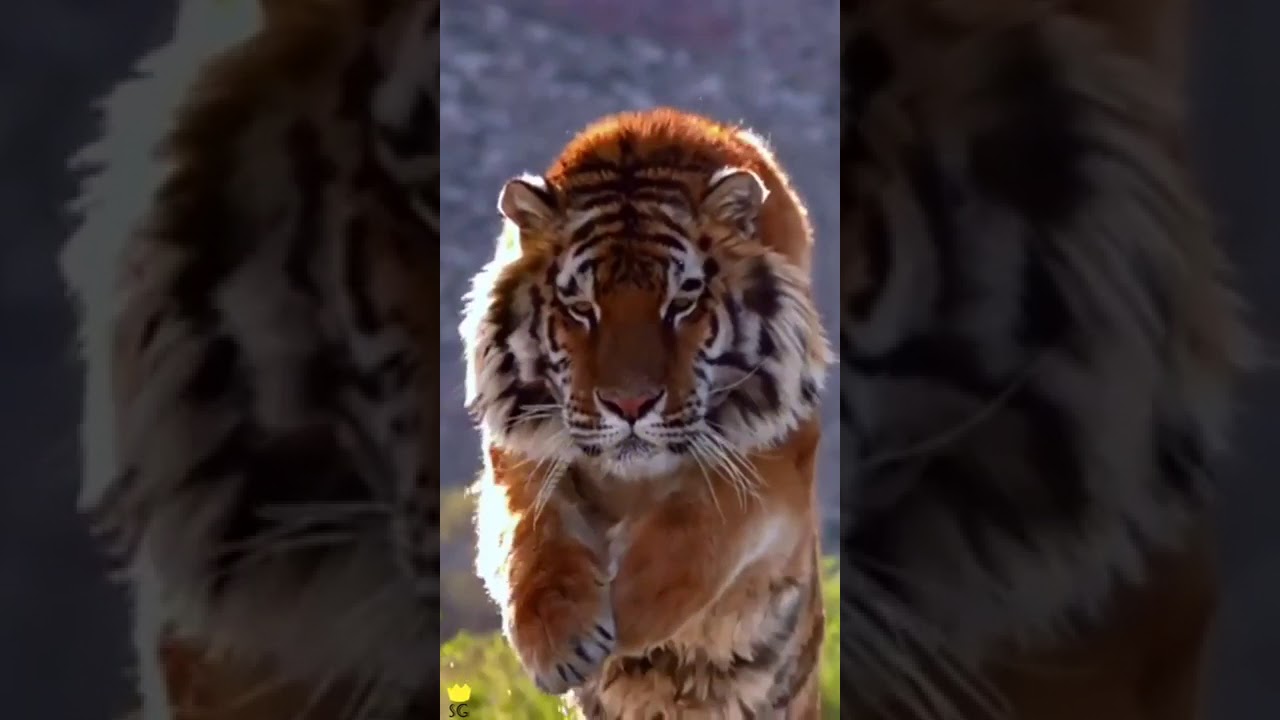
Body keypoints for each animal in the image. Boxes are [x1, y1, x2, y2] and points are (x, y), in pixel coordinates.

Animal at [460, 107, 834, 718]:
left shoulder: (776, 451)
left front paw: (627, 619)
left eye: (682, 301)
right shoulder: (517, 450)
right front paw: (559, 640)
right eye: (580, 307)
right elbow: (529, 534)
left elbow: (703, 524)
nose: (629, 404)